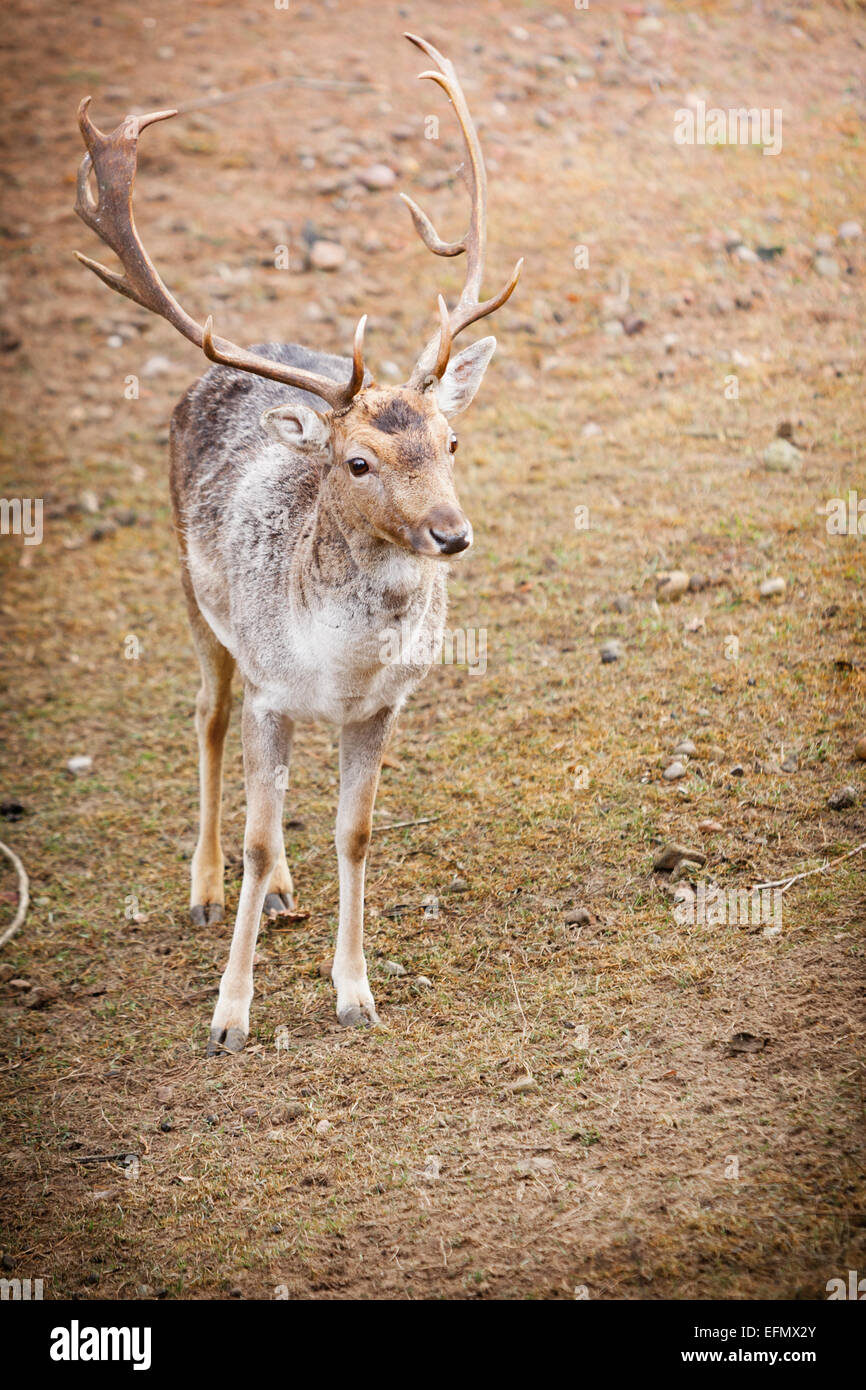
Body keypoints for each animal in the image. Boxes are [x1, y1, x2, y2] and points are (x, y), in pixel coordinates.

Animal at [74, 33, 522, 1054]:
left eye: (451, 442)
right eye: (357, 462)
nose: (452, 533)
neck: (337, 665)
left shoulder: (380, 706)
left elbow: (351, 833)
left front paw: (355, 992)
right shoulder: (273, 689)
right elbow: (255, 831)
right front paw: (229, 1016)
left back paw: (279, 894)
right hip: (194, 597)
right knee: (208, 720)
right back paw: (206, 890)